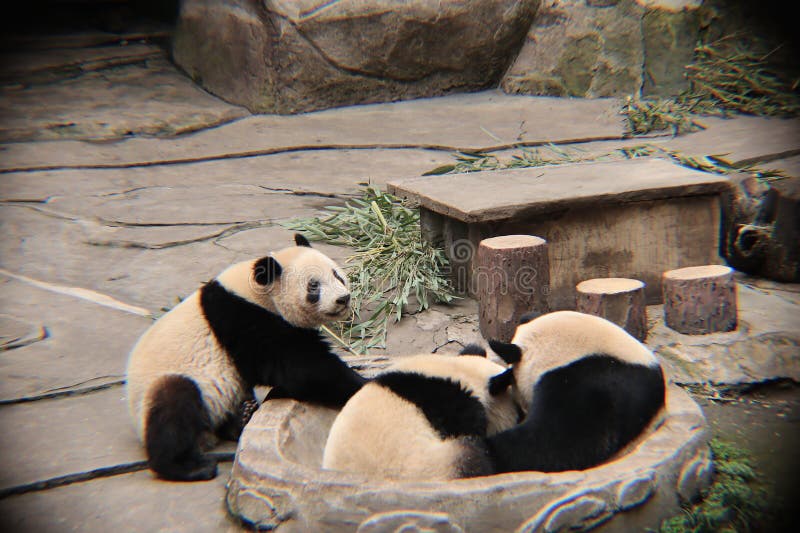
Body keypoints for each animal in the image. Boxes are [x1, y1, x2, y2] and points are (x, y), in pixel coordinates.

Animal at [126, 234, 366, 481]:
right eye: (313, 286)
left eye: (337, 275)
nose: (343, 299)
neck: (256, 292)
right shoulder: (243, 318)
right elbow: (301, 368)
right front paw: (362, 384)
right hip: (167, 383)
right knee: (174, 406)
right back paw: (190, 466)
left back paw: (243, 415)